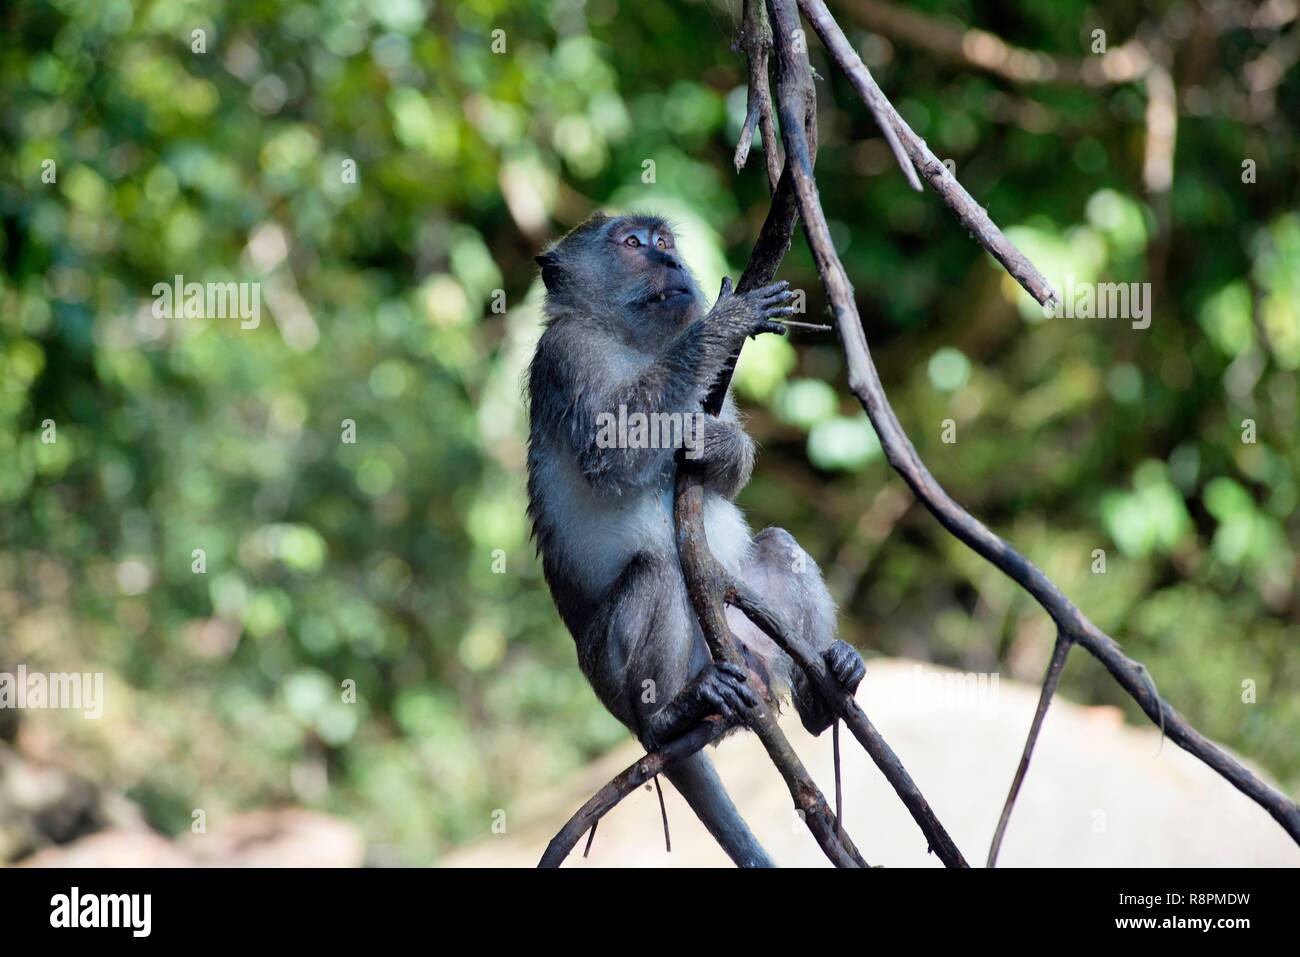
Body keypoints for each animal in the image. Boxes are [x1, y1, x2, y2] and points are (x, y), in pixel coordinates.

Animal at [526, 212, 865, 867]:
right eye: (634, 244)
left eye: (664, 241)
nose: (672, 262)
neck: (633, 341)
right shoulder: (567, 355)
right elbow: (611, 450)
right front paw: (724, 320)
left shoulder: (715, 388)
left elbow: (727, 477)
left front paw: (718, 445)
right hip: (613, 673)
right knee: (658, 569)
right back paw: (669, 717)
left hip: (748, 645)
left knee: (776, 546)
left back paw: (824, 692)